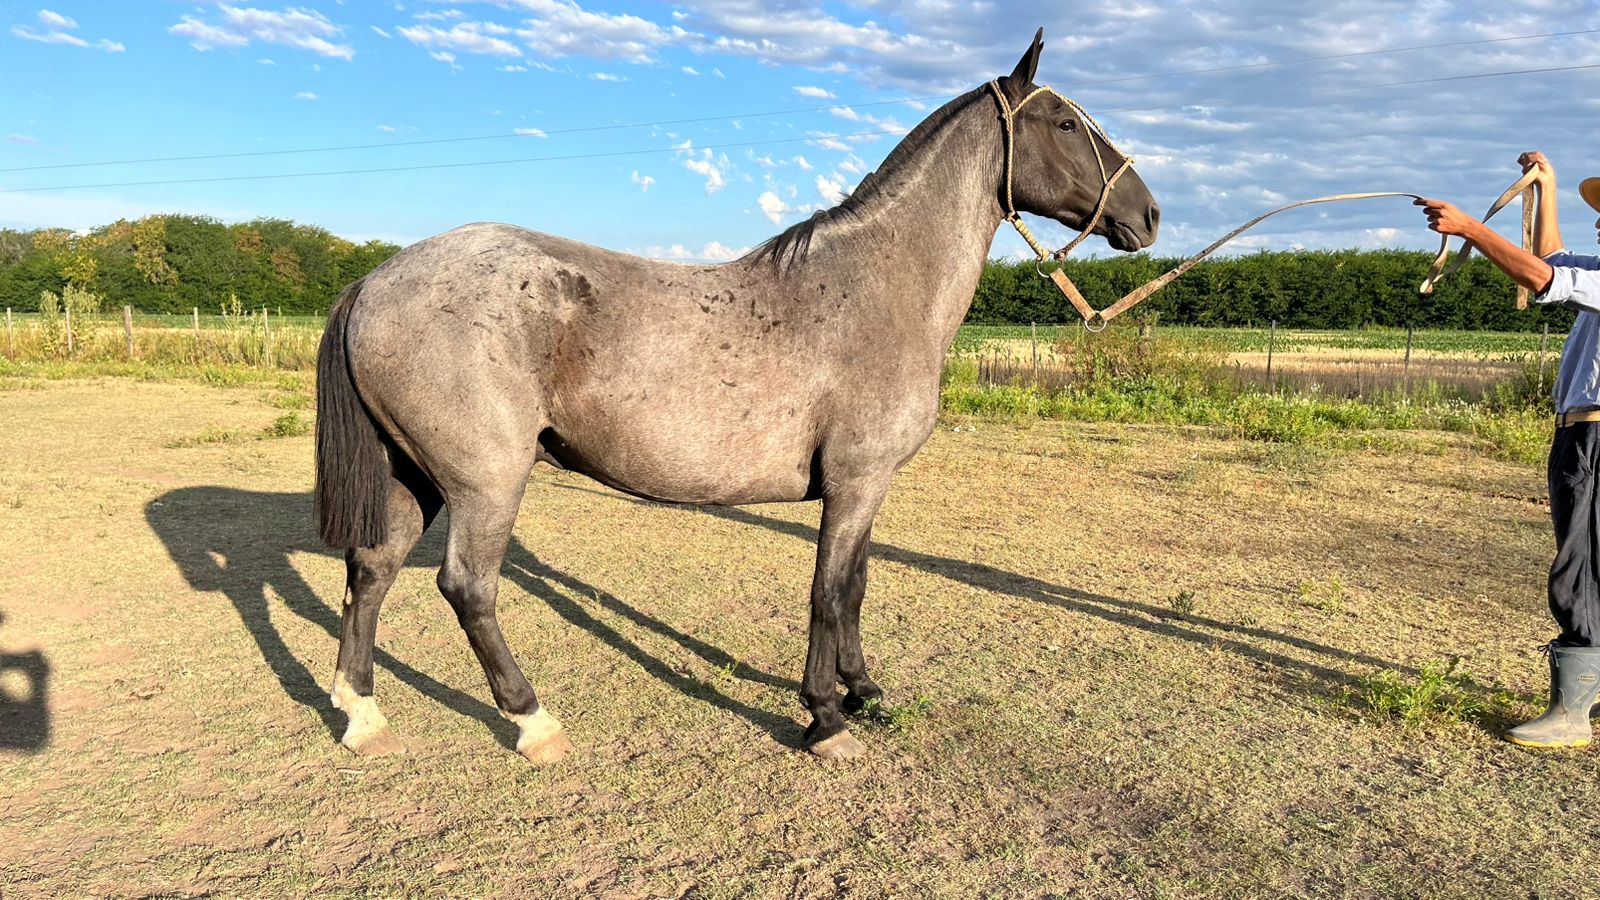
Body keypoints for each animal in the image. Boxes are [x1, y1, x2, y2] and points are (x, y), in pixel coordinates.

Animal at [314, 29, 1160, 763]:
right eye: (1065, 122)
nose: (1148, 215)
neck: (877, 285)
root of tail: (377, 280)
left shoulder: (868, 486)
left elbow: (857, 587)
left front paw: (865, 693)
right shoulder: (855, 481)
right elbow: (829, 592)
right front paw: (825, 719)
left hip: (413, 475)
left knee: (372, 571)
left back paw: (362, 715)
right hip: (485, 482)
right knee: (468, 588)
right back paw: (533, 722)